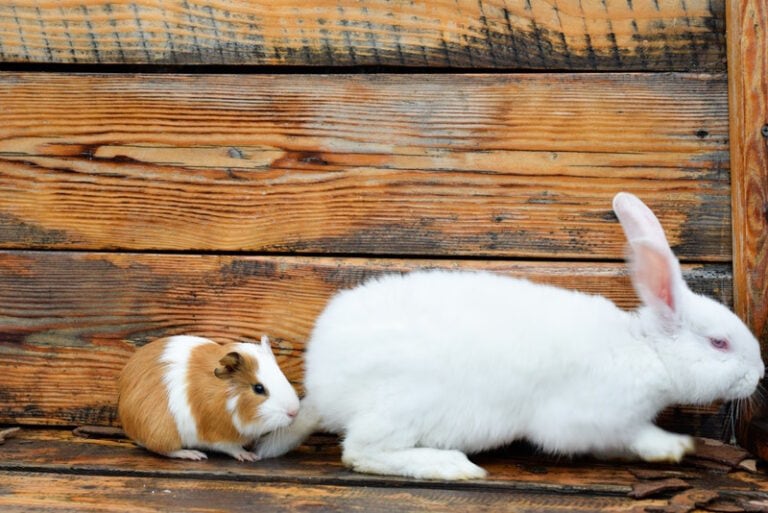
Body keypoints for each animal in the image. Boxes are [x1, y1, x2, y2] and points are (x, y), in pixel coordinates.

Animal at [118, 335, 300, 461]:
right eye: (258, 388)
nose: (294, 412)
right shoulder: (215, 434)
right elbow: (231, 447)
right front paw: (249, 457)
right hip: (164, 433)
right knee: (164, 449)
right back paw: (193, 454)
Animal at [256, 192, 764, 480]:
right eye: (720, 343)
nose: (759, 374)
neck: (645, 350)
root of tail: (321, 387)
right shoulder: (589, 417)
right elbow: (631, 435)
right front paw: (672, 446)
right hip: (399, 408)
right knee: (360, 452)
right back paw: (449, 466)